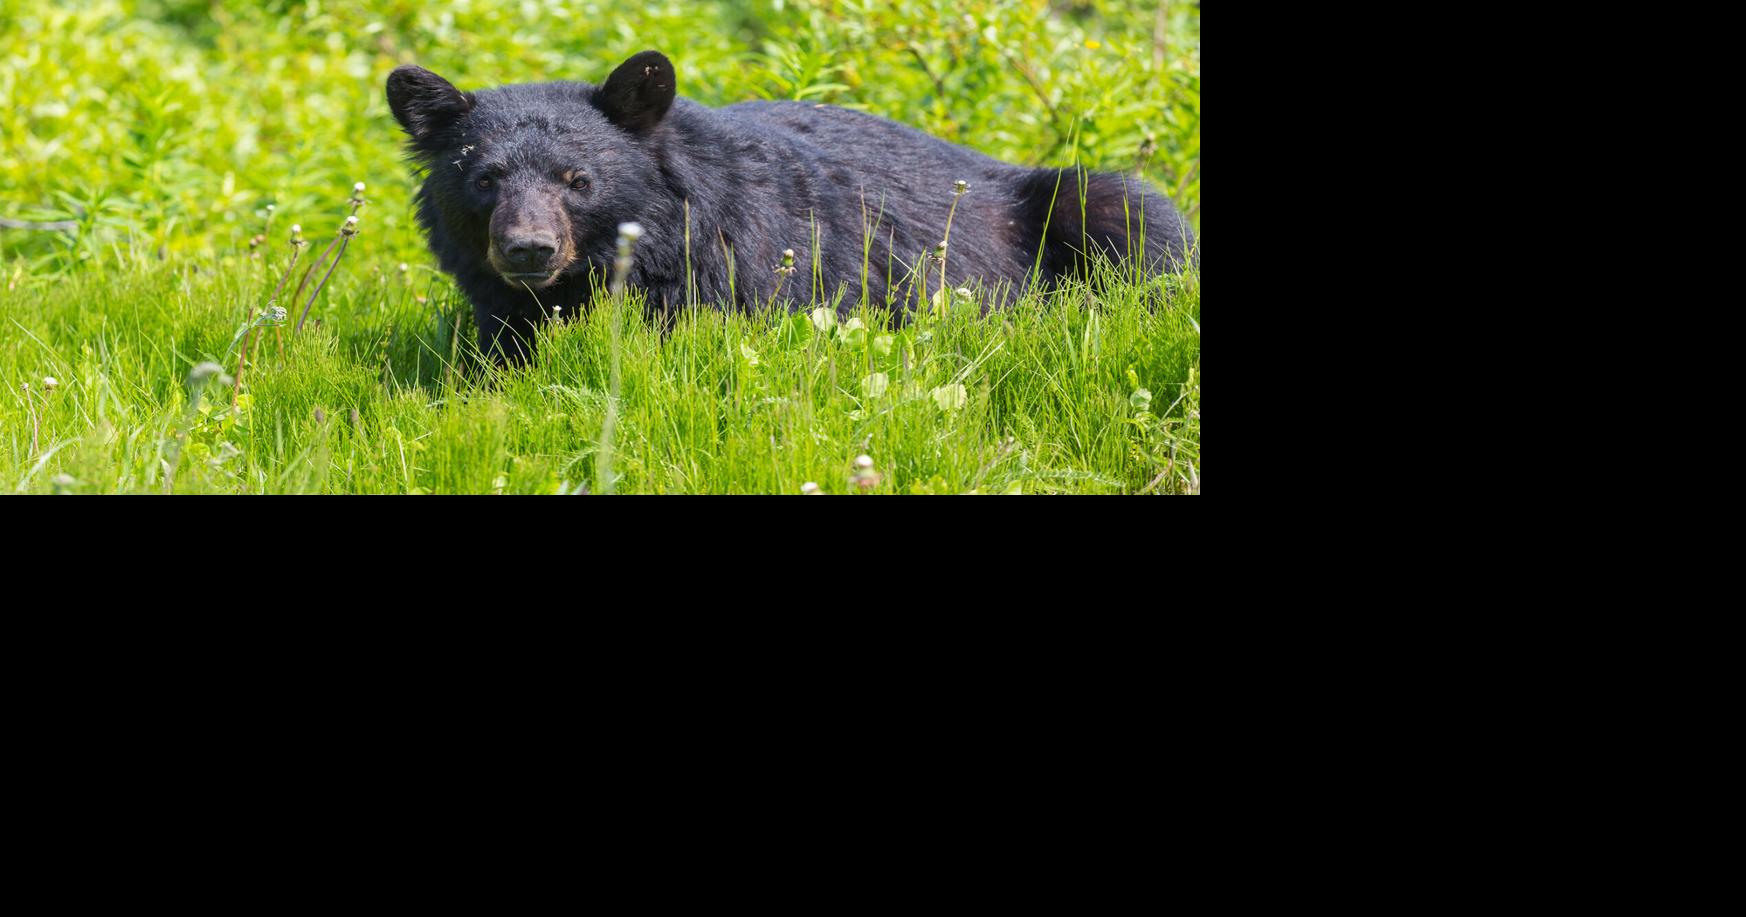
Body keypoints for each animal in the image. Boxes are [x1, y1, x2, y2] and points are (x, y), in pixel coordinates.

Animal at [387, 50, 1195, 363]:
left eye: (577, 178)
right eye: (484, 179)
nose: (529, 248)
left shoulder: (737, 272)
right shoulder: (502, 303)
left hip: (1078, 202)